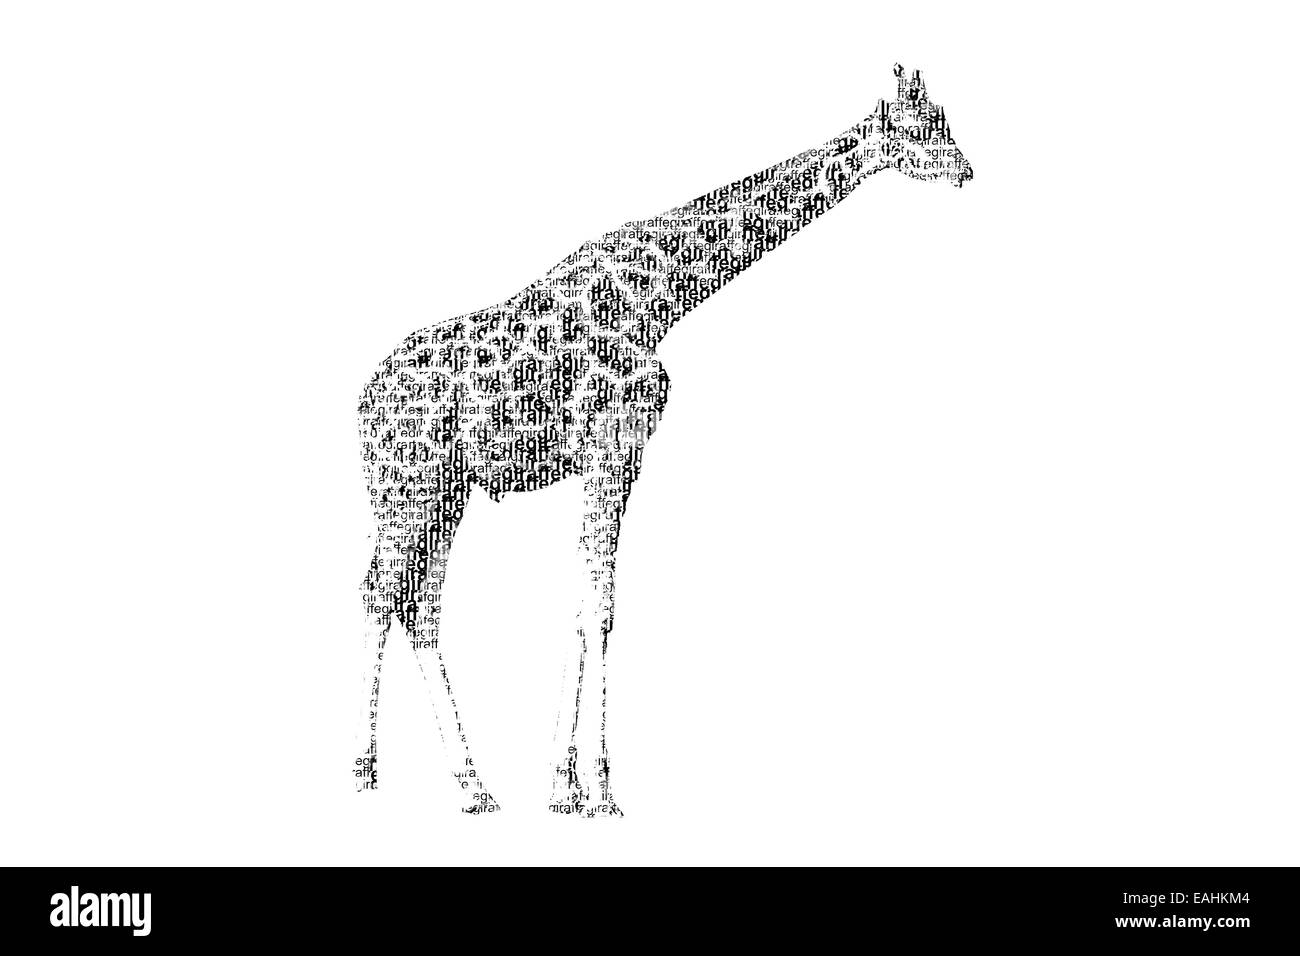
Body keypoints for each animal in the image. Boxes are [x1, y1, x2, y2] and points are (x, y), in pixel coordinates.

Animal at [355, 65, 972, 816]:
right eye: (922, 128)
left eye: (945, 119)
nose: (966, 170)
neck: (660, 300)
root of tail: (360, 407)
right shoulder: (612, 446)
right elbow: (601, 609)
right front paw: (602, 790)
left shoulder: (619, 457)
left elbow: (583, 602)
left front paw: (562, 786)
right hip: (405, 488)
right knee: (379, 594)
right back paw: (363, 773)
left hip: (446, 494)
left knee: (419, 606)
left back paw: (474, 788)